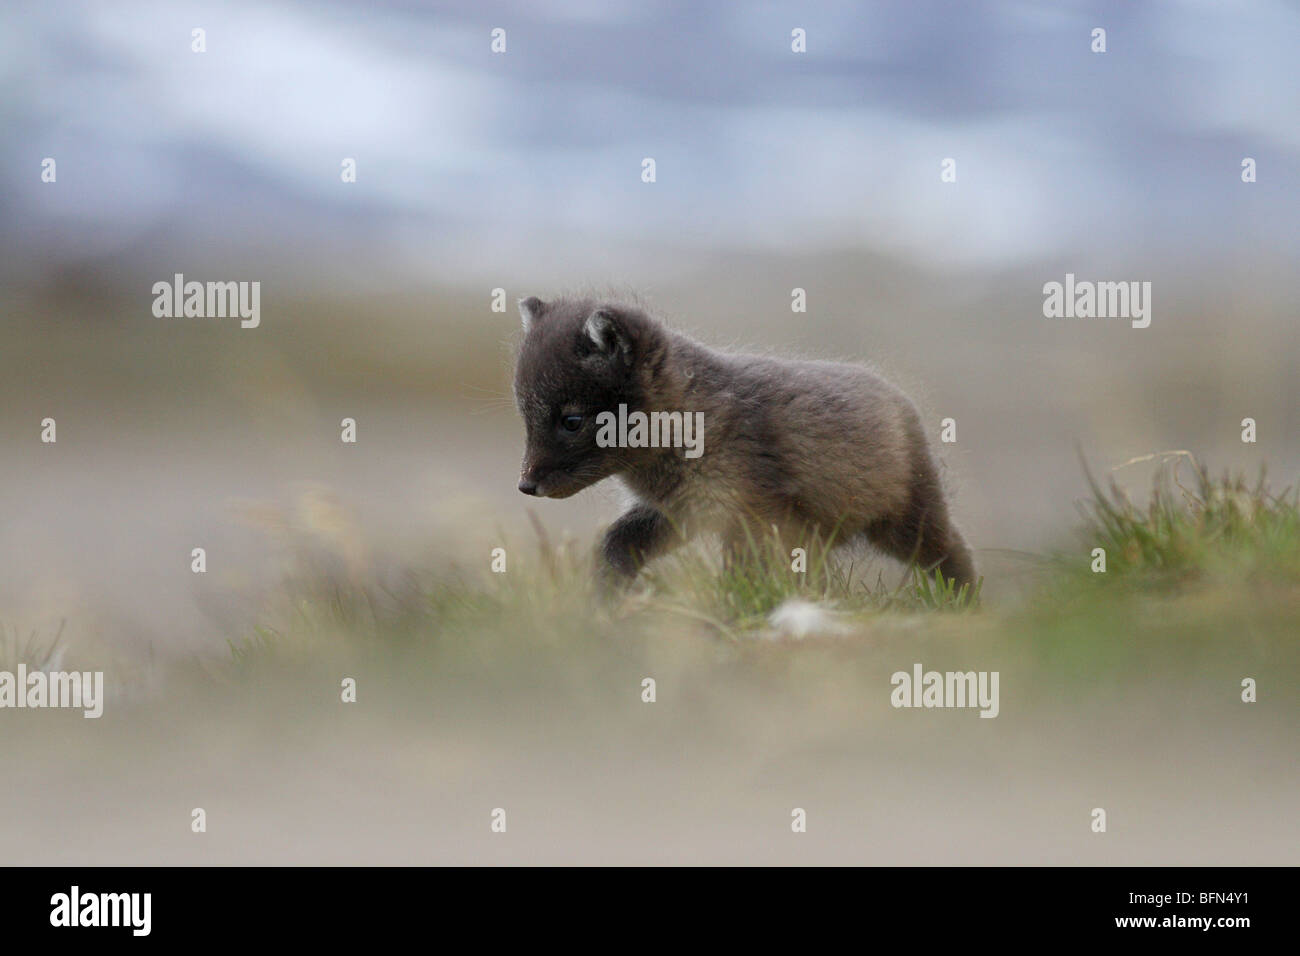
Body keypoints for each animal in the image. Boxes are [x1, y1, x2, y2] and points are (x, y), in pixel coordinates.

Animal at [512, 295, 976, 590]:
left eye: (571, 421)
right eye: (525, 417)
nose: (525, 486)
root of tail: (896, 394)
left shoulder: (754, 513)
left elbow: (749, 578)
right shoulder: (678, 512)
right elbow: (615, 545)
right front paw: (608, 597)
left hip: (906, 522)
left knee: (954, 552)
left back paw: (965, 603)